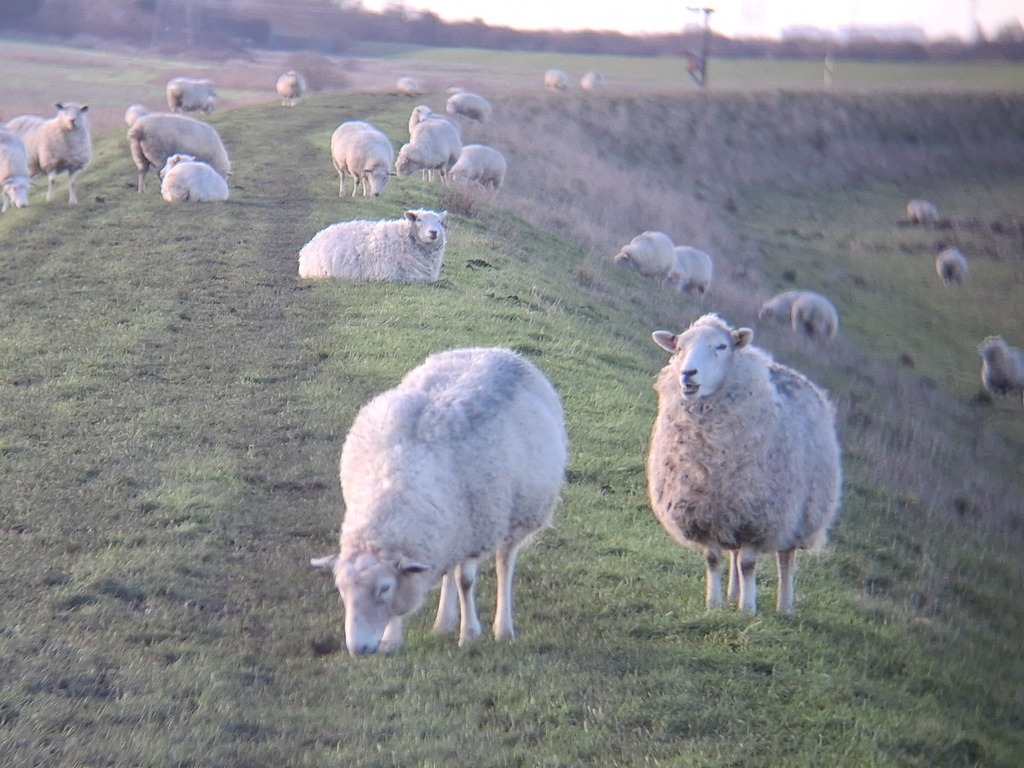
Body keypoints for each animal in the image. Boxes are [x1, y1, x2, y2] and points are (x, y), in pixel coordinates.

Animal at [310, 346, 568, 655]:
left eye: (384, 588)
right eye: (342, 589)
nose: (358, 648)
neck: (395, 478)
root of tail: (497, 350)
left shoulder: (477, 530)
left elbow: (466, 582)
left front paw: (469, 634)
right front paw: (391, 639)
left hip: (514, 517)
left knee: (504, 564)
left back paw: (503, 628)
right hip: (452, 529)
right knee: (449, 569)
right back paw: (444, 621)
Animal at [647, 313, 842, 614]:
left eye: (721, 346)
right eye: (679, 348)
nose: (688, 373)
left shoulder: (758, 517)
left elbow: (749, 564)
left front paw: (748, 608)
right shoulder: (707, 512)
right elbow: (713, 559)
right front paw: (714, 604)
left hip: (798, 515)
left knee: (785, 559)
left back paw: (784, 606)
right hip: (733, 510)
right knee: (734, 553)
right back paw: (732, 594)